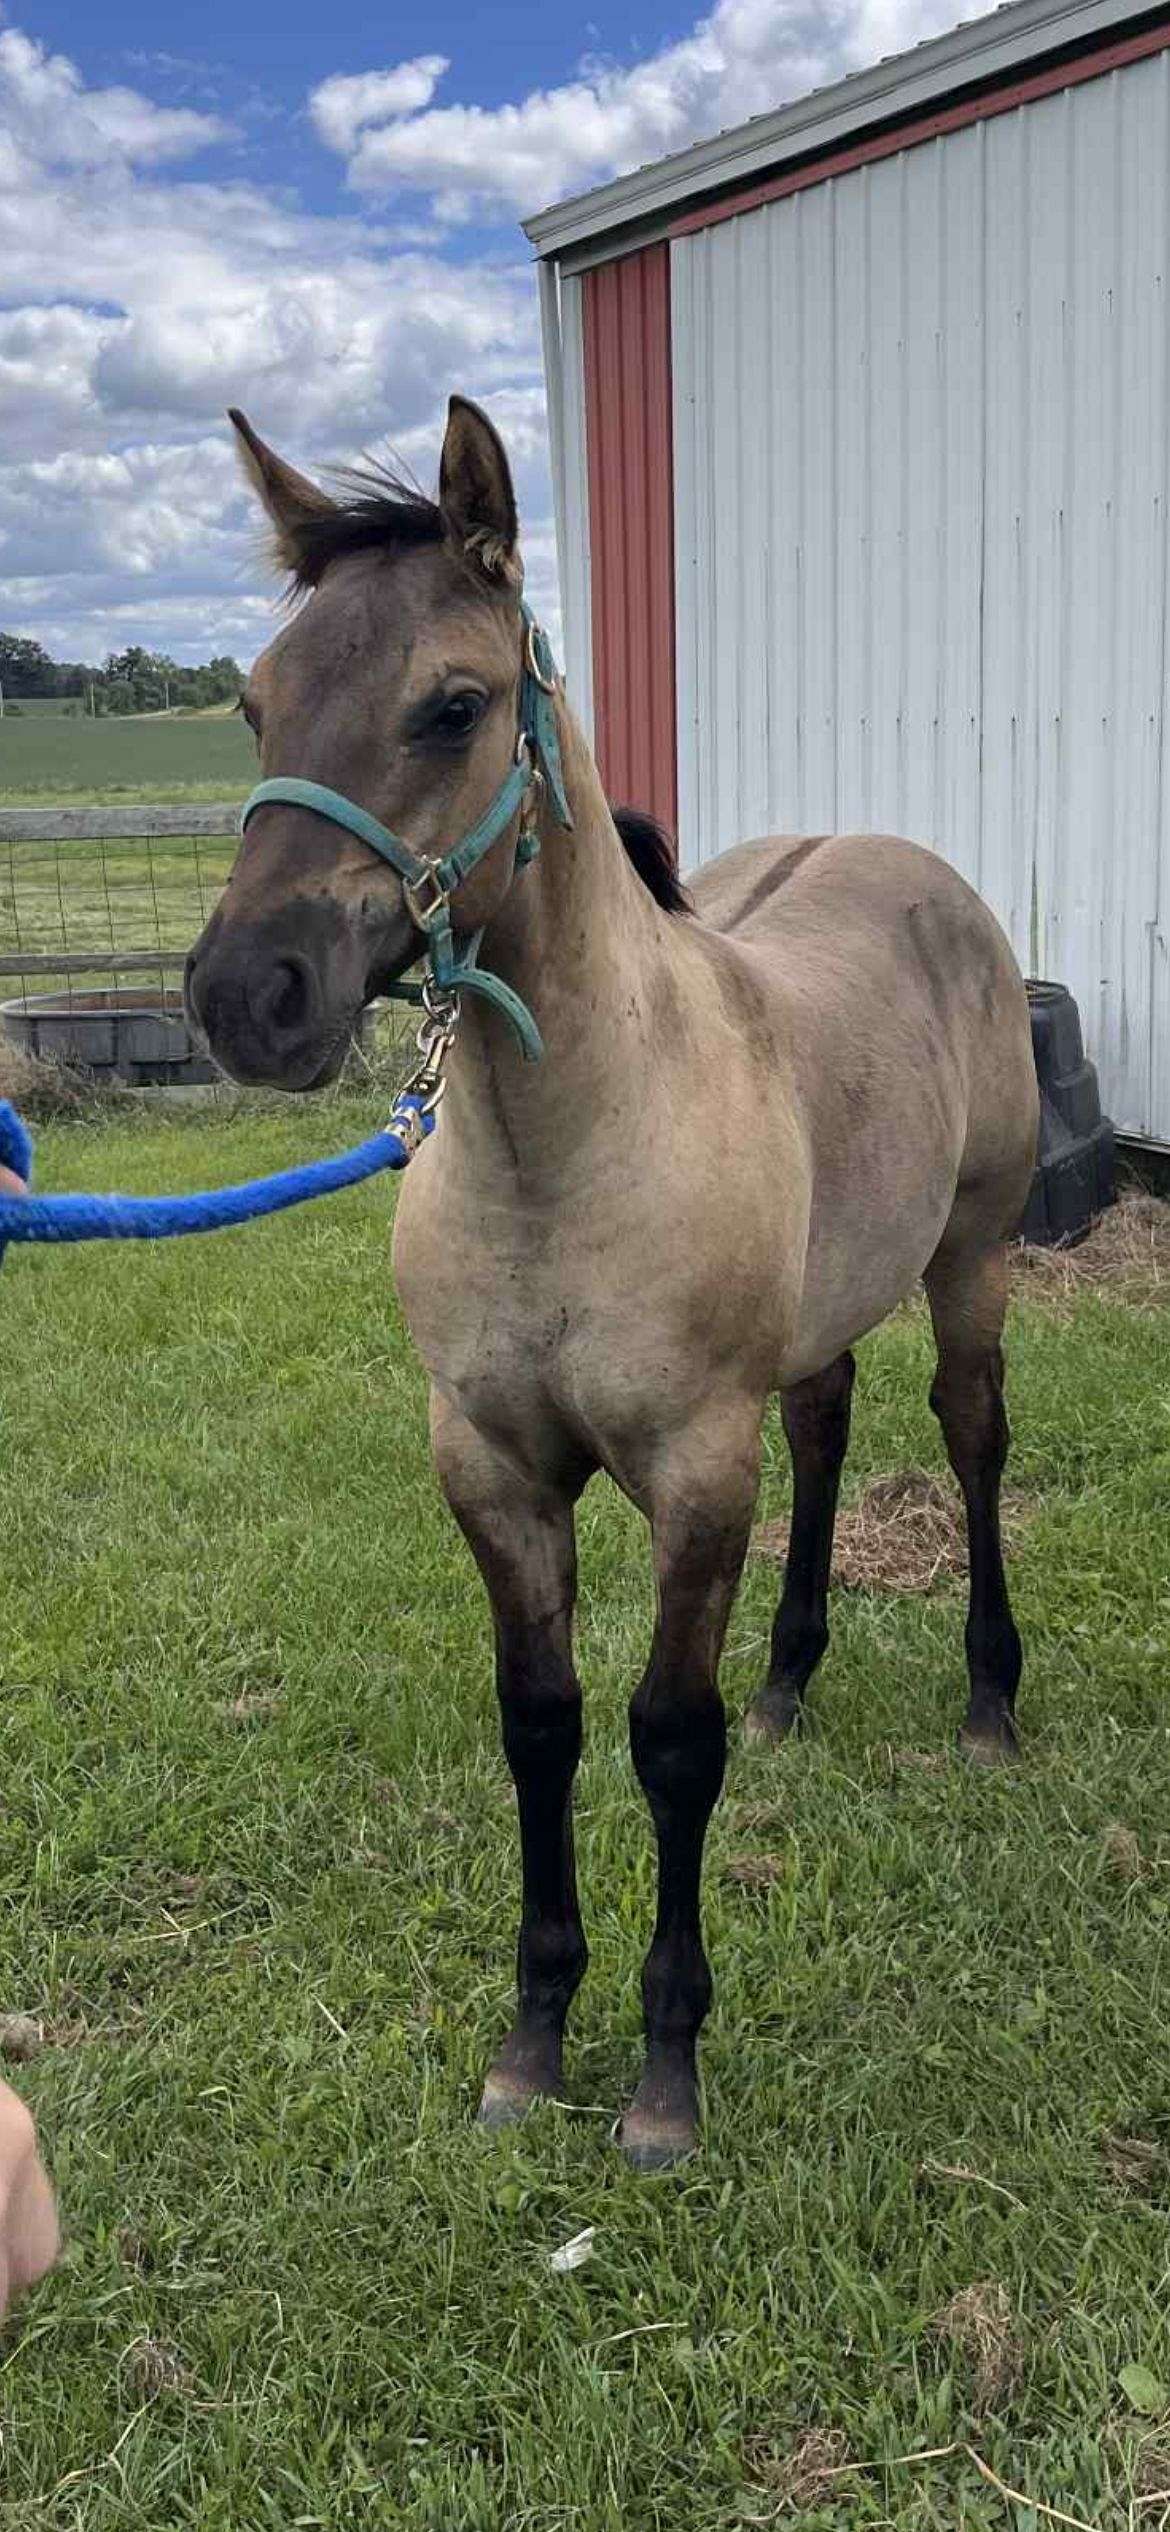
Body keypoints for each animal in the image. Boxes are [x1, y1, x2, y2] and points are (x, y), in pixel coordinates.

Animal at [186, 396, 1039, 2169]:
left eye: (452, 704)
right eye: (254, 702)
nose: (247, 996)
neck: (559, 1154)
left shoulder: (691, 1472)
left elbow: (663, 1739)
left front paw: (661, 2074)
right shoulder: (491, 1467)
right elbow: (541, 1724)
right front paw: (529, 2043)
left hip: (971, 1256)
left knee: (970, 1436)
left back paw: (989, 1707)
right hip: (823, 1316)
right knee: (828, 1428)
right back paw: (791, 1680)